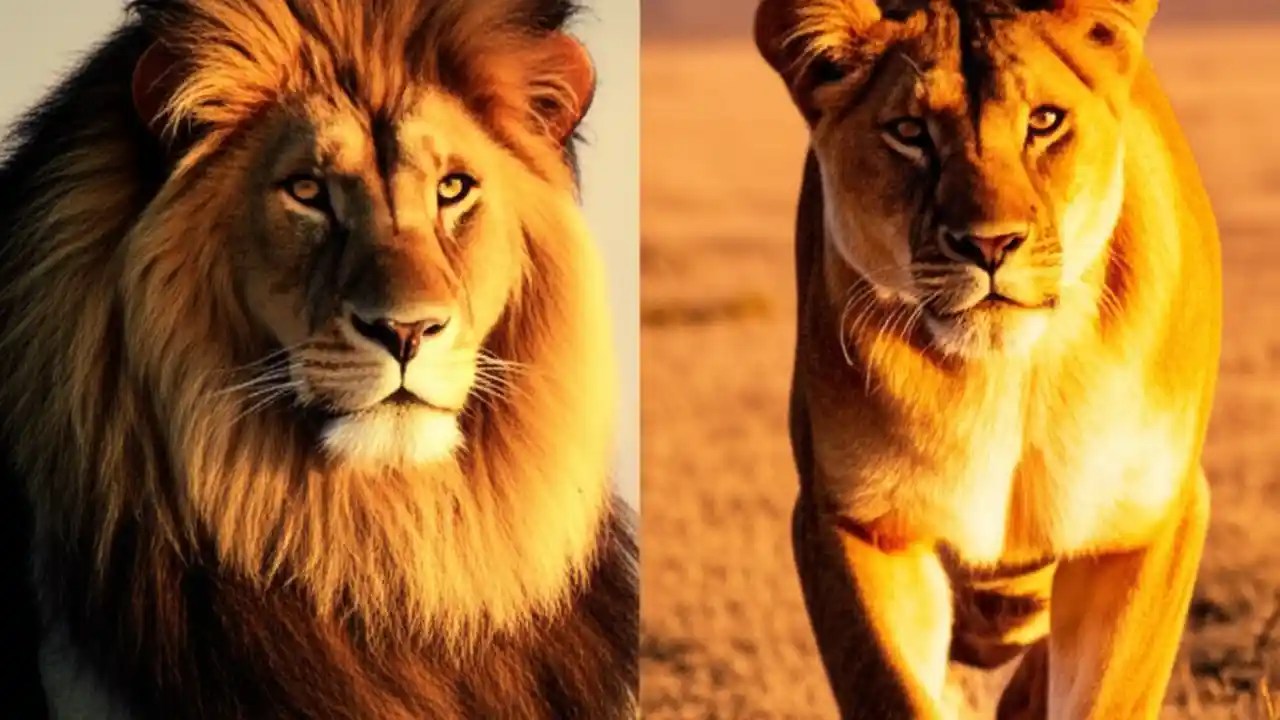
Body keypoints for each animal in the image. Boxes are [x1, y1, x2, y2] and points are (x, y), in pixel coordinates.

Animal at [755, 0, 1220, 717]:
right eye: (910, 132)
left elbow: (1112, 694)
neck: (1011, 377)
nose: (990, 244)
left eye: (1045, 121)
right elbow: (890, 690)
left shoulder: (1147, 522)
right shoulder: (858, 523)